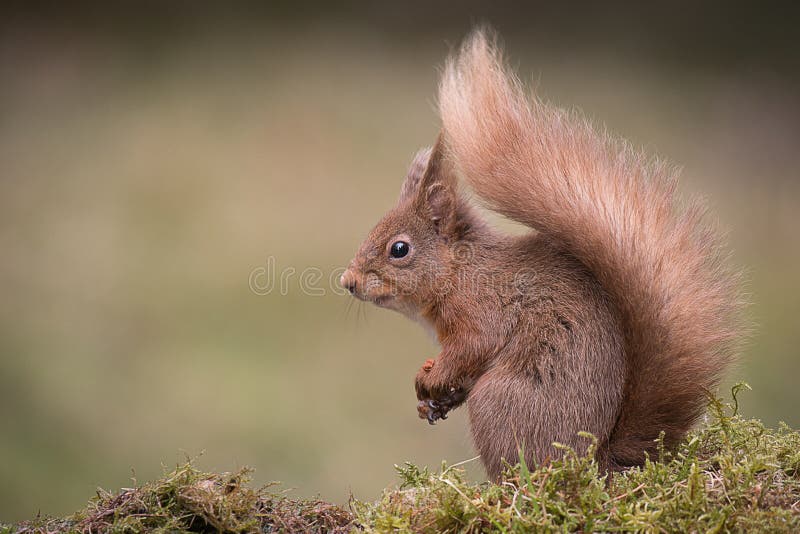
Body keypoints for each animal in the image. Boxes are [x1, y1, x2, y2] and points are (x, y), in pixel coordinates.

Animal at [340, 30, 743, 478]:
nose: (347, 282)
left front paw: (429, 378)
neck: (461, 270)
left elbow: (473, 346)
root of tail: (594, 462)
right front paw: (432, 398)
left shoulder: (482, 309)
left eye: (399, 249)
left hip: (499, 401)